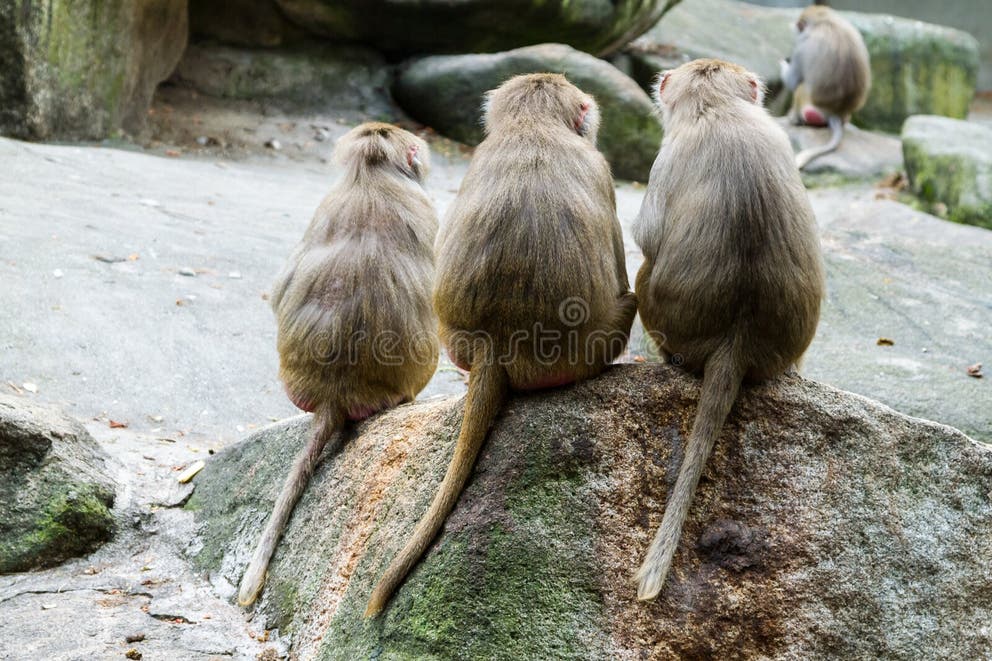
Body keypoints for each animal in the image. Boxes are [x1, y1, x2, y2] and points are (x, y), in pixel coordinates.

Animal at [364, 73, 638, 617]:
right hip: (586, 351)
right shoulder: (602, 170)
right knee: (629, 301)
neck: (532, 126)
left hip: (456, 343)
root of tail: (497, 343)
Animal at [632, 59, 825, 600]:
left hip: (669, 329)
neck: (717, 109)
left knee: (645, 273)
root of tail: (735, 344)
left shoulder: (666, 157)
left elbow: (646, 237)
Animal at [780, 5, 871, 170]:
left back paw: (794, 119)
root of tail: (835, 112)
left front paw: (783, 63)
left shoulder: (802, 46)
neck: (824, 21)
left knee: (800, 88)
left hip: (809, 105)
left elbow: (792, 81)